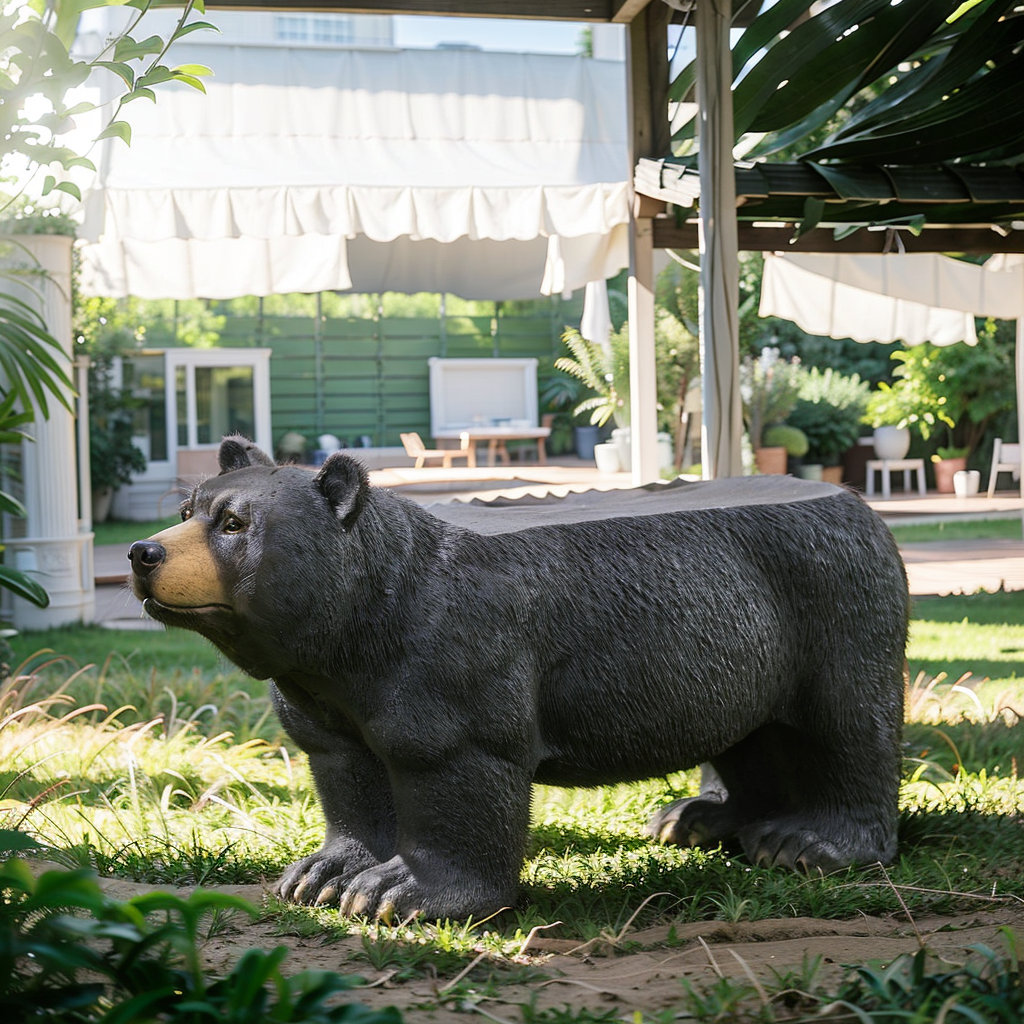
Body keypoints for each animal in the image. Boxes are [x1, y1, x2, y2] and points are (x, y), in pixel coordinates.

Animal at [128, 435, 908, 921]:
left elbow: (453, 762)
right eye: (187, 508)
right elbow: (342, 764)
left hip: (834, 599)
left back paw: (812, 843)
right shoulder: (326, 685)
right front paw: (321, 875)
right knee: (749, 730)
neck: (361, 623)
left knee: (847, 721)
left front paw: (404, 892)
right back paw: (696, 818)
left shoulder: (455, 649)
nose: (143, 552)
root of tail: (855, 501)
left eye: (234, 523)